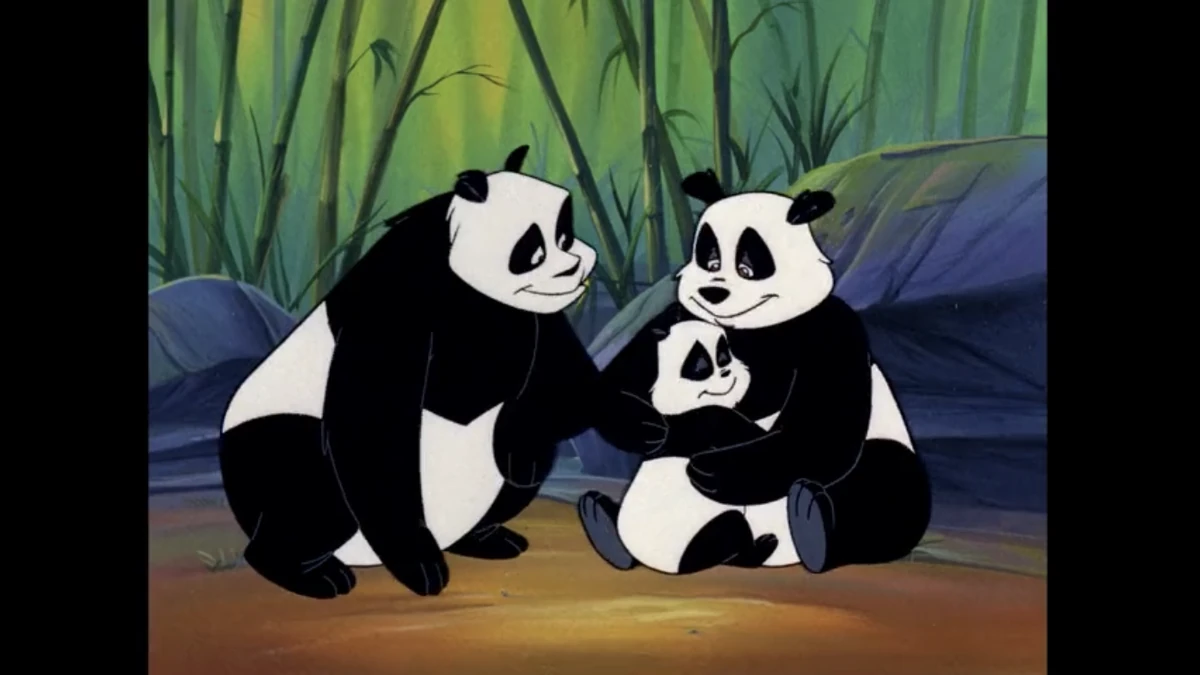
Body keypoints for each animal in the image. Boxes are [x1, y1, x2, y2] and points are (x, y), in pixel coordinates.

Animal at [218, 145, 600, 599]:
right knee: (307, 481)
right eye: (536, 250)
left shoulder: (534, 319)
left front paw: (516, 440)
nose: (577, 266)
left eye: (565, 235)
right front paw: (421, 569)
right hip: (269, 451)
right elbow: (374, 429)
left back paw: (488, 536)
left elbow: (572, 391)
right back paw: (311, 573)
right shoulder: (394, 307)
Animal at [579, 316, 804, 575]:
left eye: (723, 356)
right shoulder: (706, 421)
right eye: (700, 367)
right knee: (729, 530)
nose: (726, 370)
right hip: (695, 540)